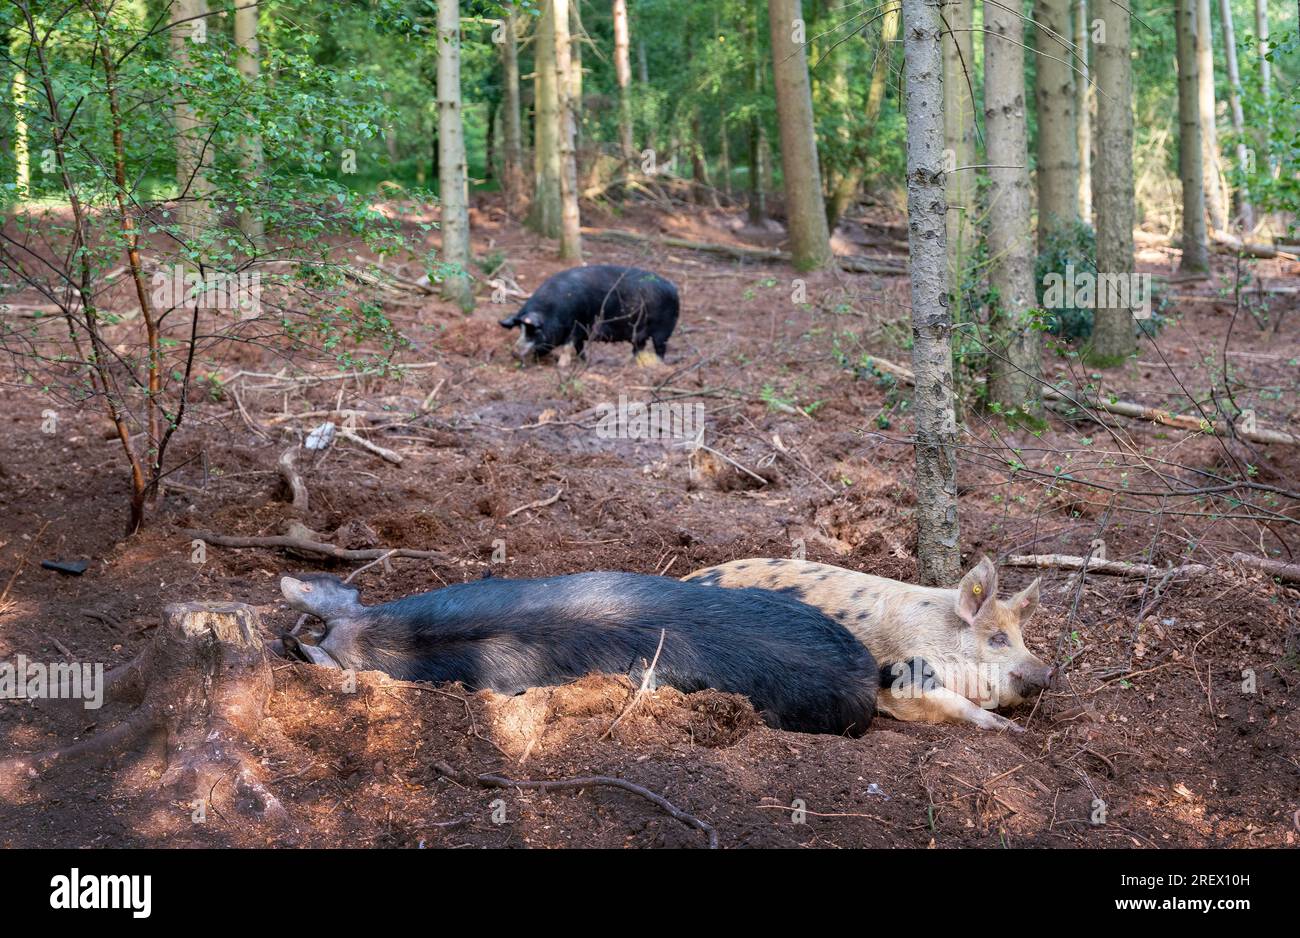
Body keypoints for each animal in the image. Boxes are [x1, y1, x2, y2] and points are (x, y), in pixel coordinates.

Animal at [498, 265, 679, 366]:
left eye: (533, 331)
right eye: (519, 329)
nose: (514, 352)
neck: (553, 312)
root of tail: (673, 289)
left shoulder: (576, 326)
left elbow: (569, 346)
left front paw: (562, 366)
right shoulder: (581, 333)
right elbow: (579, 348)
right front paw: (584, 361)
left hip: (663, 330)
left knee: (660, 348)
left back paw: (658, 365)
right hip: (639, 334)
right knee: (638, 347)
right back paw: (627, 363)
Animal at [684, 557, 1054, 732]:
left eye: (1022, 639)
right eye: (997, 638)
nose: (1049, 671)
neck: (942, 637)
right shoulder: (905, 676)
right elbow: (956, 704)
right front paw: (1014, 729)